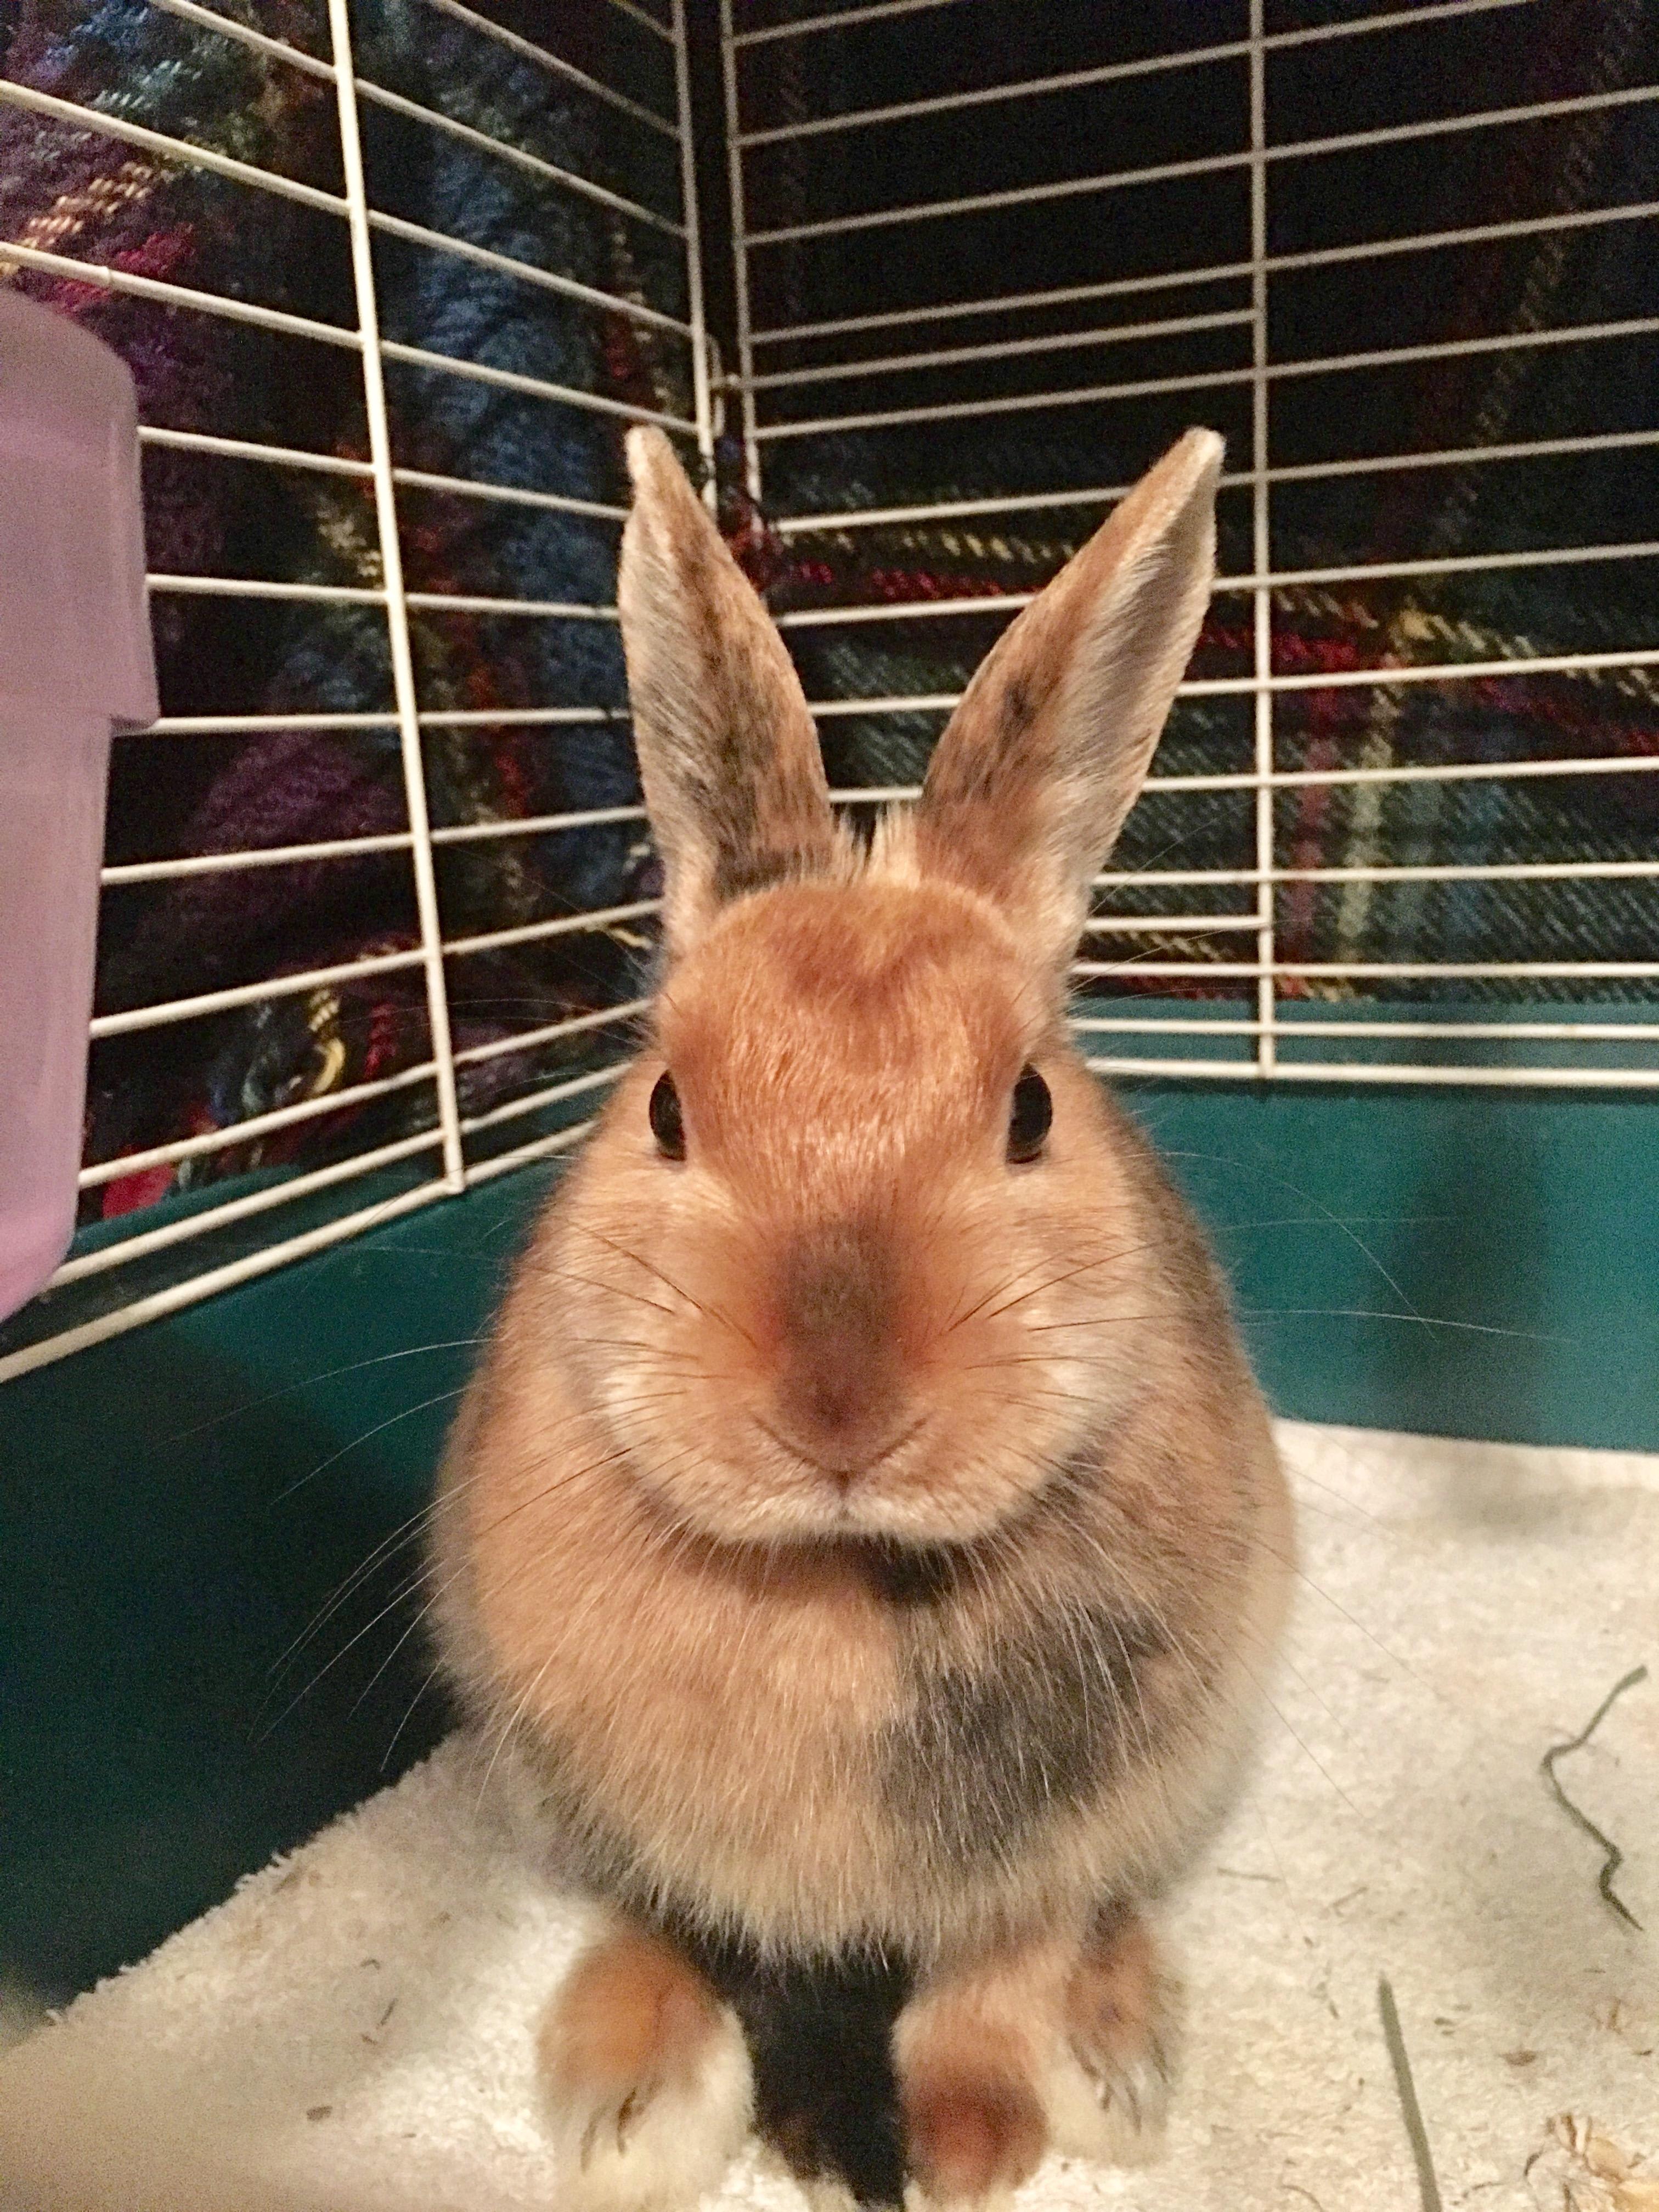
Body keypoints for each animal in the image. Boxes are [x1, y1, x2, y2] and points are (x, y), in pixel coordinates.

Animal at [430, 424, 1294, 2211]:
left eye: (1032, 1108)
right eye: (664, 1108)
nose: (839, 1410)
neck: (841, 1579)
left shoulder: (1045, 1853)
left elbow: (995, 1970)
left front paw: (977, 2145)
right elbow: (669, 1921)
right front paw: (629, 2108)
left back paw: (1117, 2044)